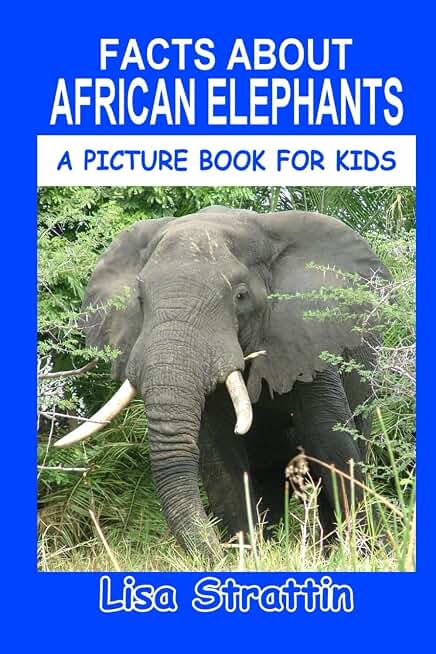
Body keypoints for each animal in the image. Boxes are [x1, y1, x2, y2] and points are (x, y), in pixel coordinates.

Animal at [55, 205, 390, 557]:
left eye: (240, 296)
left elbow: (331, 444)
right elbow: (221, 460)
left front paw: (369, 552)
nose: (214, 551)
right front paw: (250, 555)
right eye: (140, 300)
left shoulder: (306, 340)